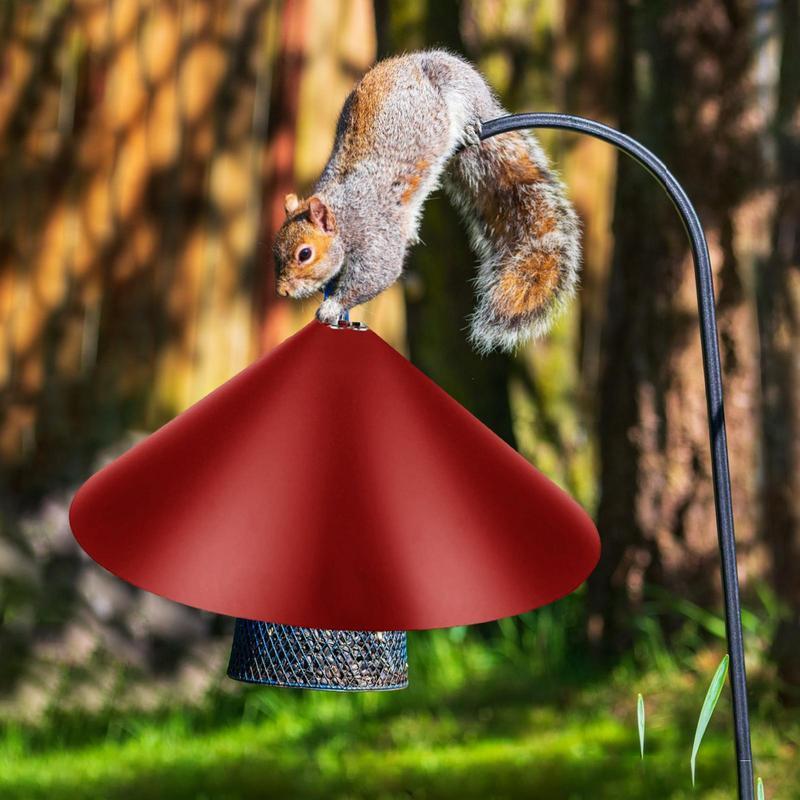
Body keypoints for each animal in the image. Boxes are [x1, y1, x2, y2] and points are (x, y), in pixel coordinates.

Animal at [273, 50, 580, 354]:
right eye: (275, 253)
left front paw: (331, 307)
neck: (343, 213)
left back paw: (470, 128)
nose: (282, 291)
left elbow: (377, 274)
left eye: (304, 254)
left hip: (460, 88)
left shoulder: (376, 233)